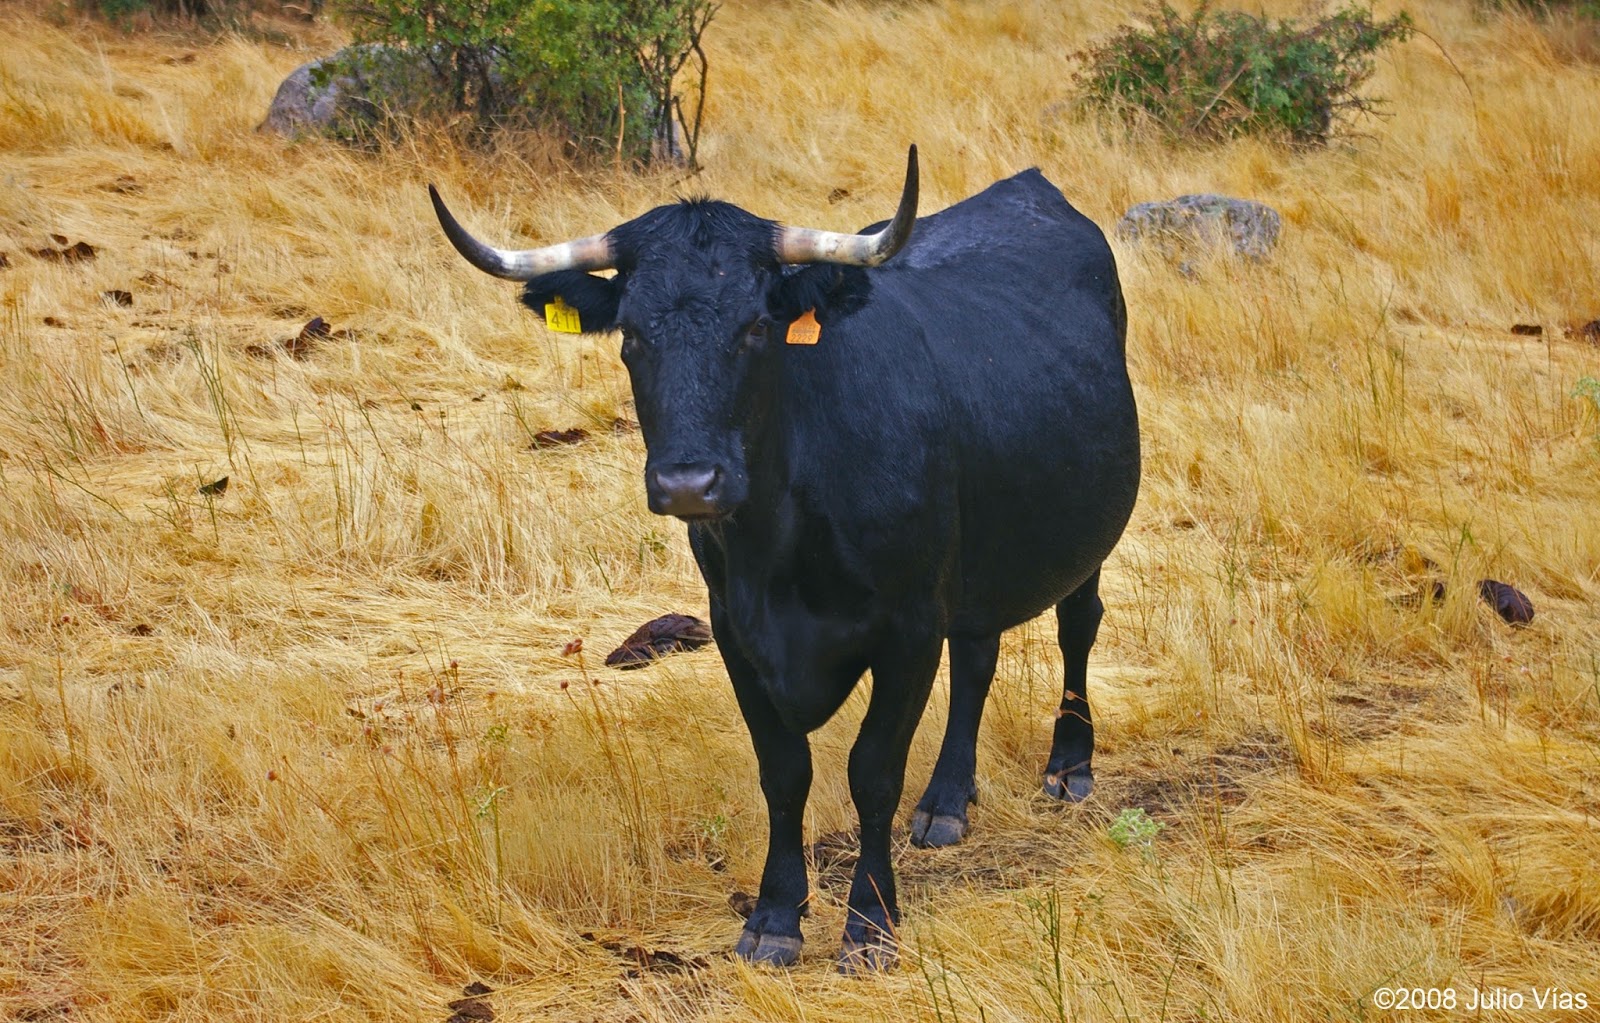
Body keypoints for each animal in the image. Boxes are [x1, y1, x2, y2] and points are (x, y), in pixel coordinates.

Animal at [430, 146, 1140, 972]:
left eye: (756, 327)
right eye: (632, 336)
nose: (689, 481)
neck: (781, 541)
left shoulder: (907, 628)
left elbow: (872, 770)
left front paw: (869, 922)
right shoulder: (737, 632)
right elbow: (784, 771)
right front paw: (774, 915)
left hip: (1082, 537)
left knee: (1076, 626)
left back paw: (1069, 763)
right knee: (978, 656)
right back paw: (946, 801)